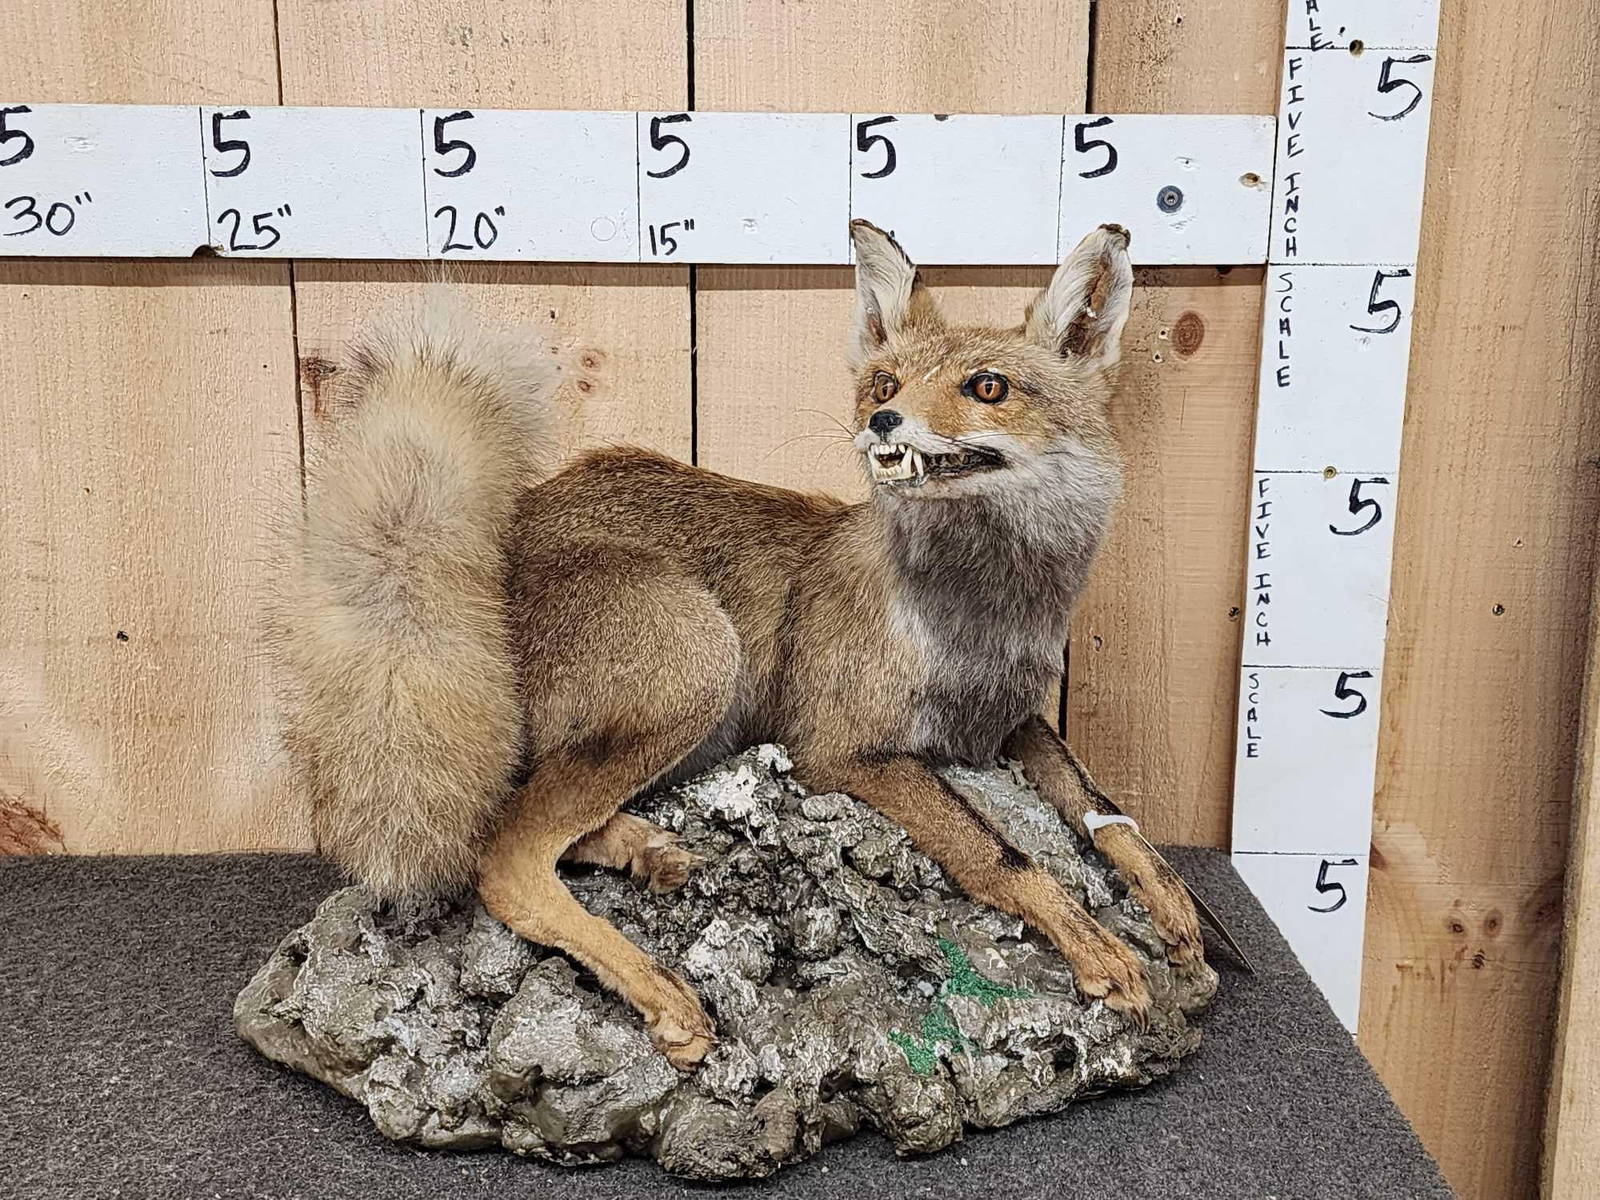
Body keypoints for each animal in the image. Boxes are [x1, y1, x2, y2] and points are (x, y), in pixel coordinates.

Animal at [273, 220, 1205, 1070]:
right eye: (887, 381)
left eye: (988, 386)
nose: (881, 420)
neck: (982, 618)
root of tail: (495, 543)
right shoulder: (844, 748)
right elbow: (1000, 853)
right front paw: (1094, 945)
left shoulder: (1010, 722)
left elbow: (1104, 810)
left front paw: (1171, 908)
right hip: (700, 663)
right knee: (502, 858)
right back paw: (661, 992)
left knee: (511, 816)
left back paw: (640, 847)